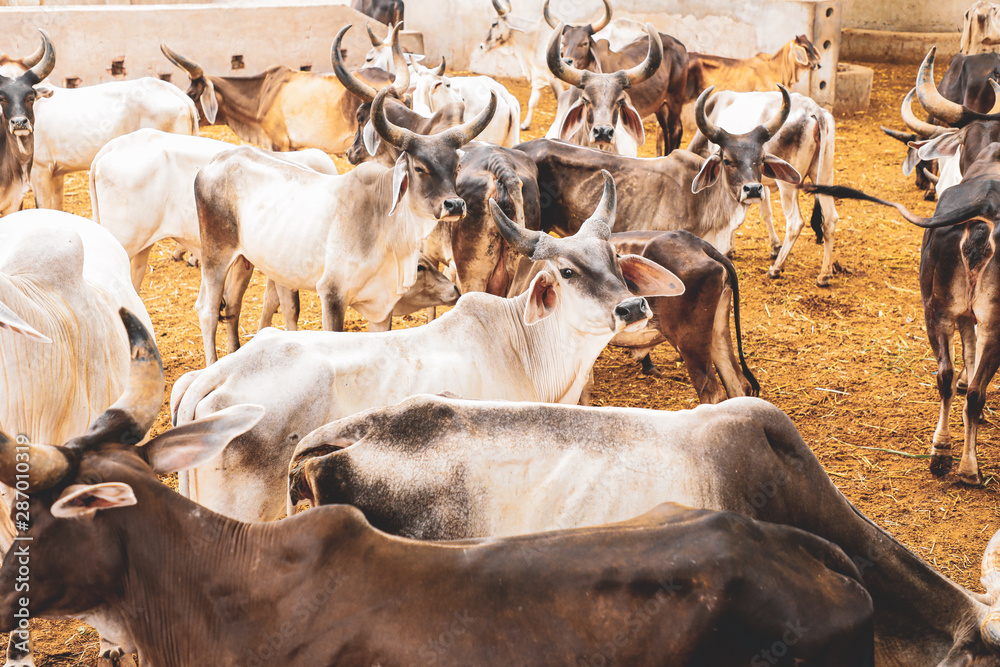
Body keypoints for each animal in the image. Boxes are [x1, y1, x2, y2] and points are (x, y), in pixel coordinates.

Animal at [192, 86, 497, 364]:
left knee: (238, 305)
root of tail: (218, 160)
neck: (385, 230)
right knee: (207, 309)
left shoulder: (382, 304)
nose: (455, 205)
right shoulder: (332, 295)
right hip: (216, 255)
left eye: (456, 167)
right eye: (419, 168)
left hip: (249, 261)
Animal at [479, 0, 565, 130]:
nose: (482, 45)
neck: (534, 39)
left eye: (494, 24)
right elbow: (532, 102)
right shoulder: (538, 78)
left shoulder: (554, 79)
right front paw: (525, 124)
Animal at [686, 90, 839, 286]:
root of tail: (813, 109)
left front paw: (729, 248)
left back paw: (776, 268)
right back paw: (824, 274)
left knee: (795, 222)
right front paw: (774, 247)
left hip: (788, 185)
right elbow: (766, 213)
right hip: (825, 174)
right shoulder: (758, 184)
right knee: (830, 219)